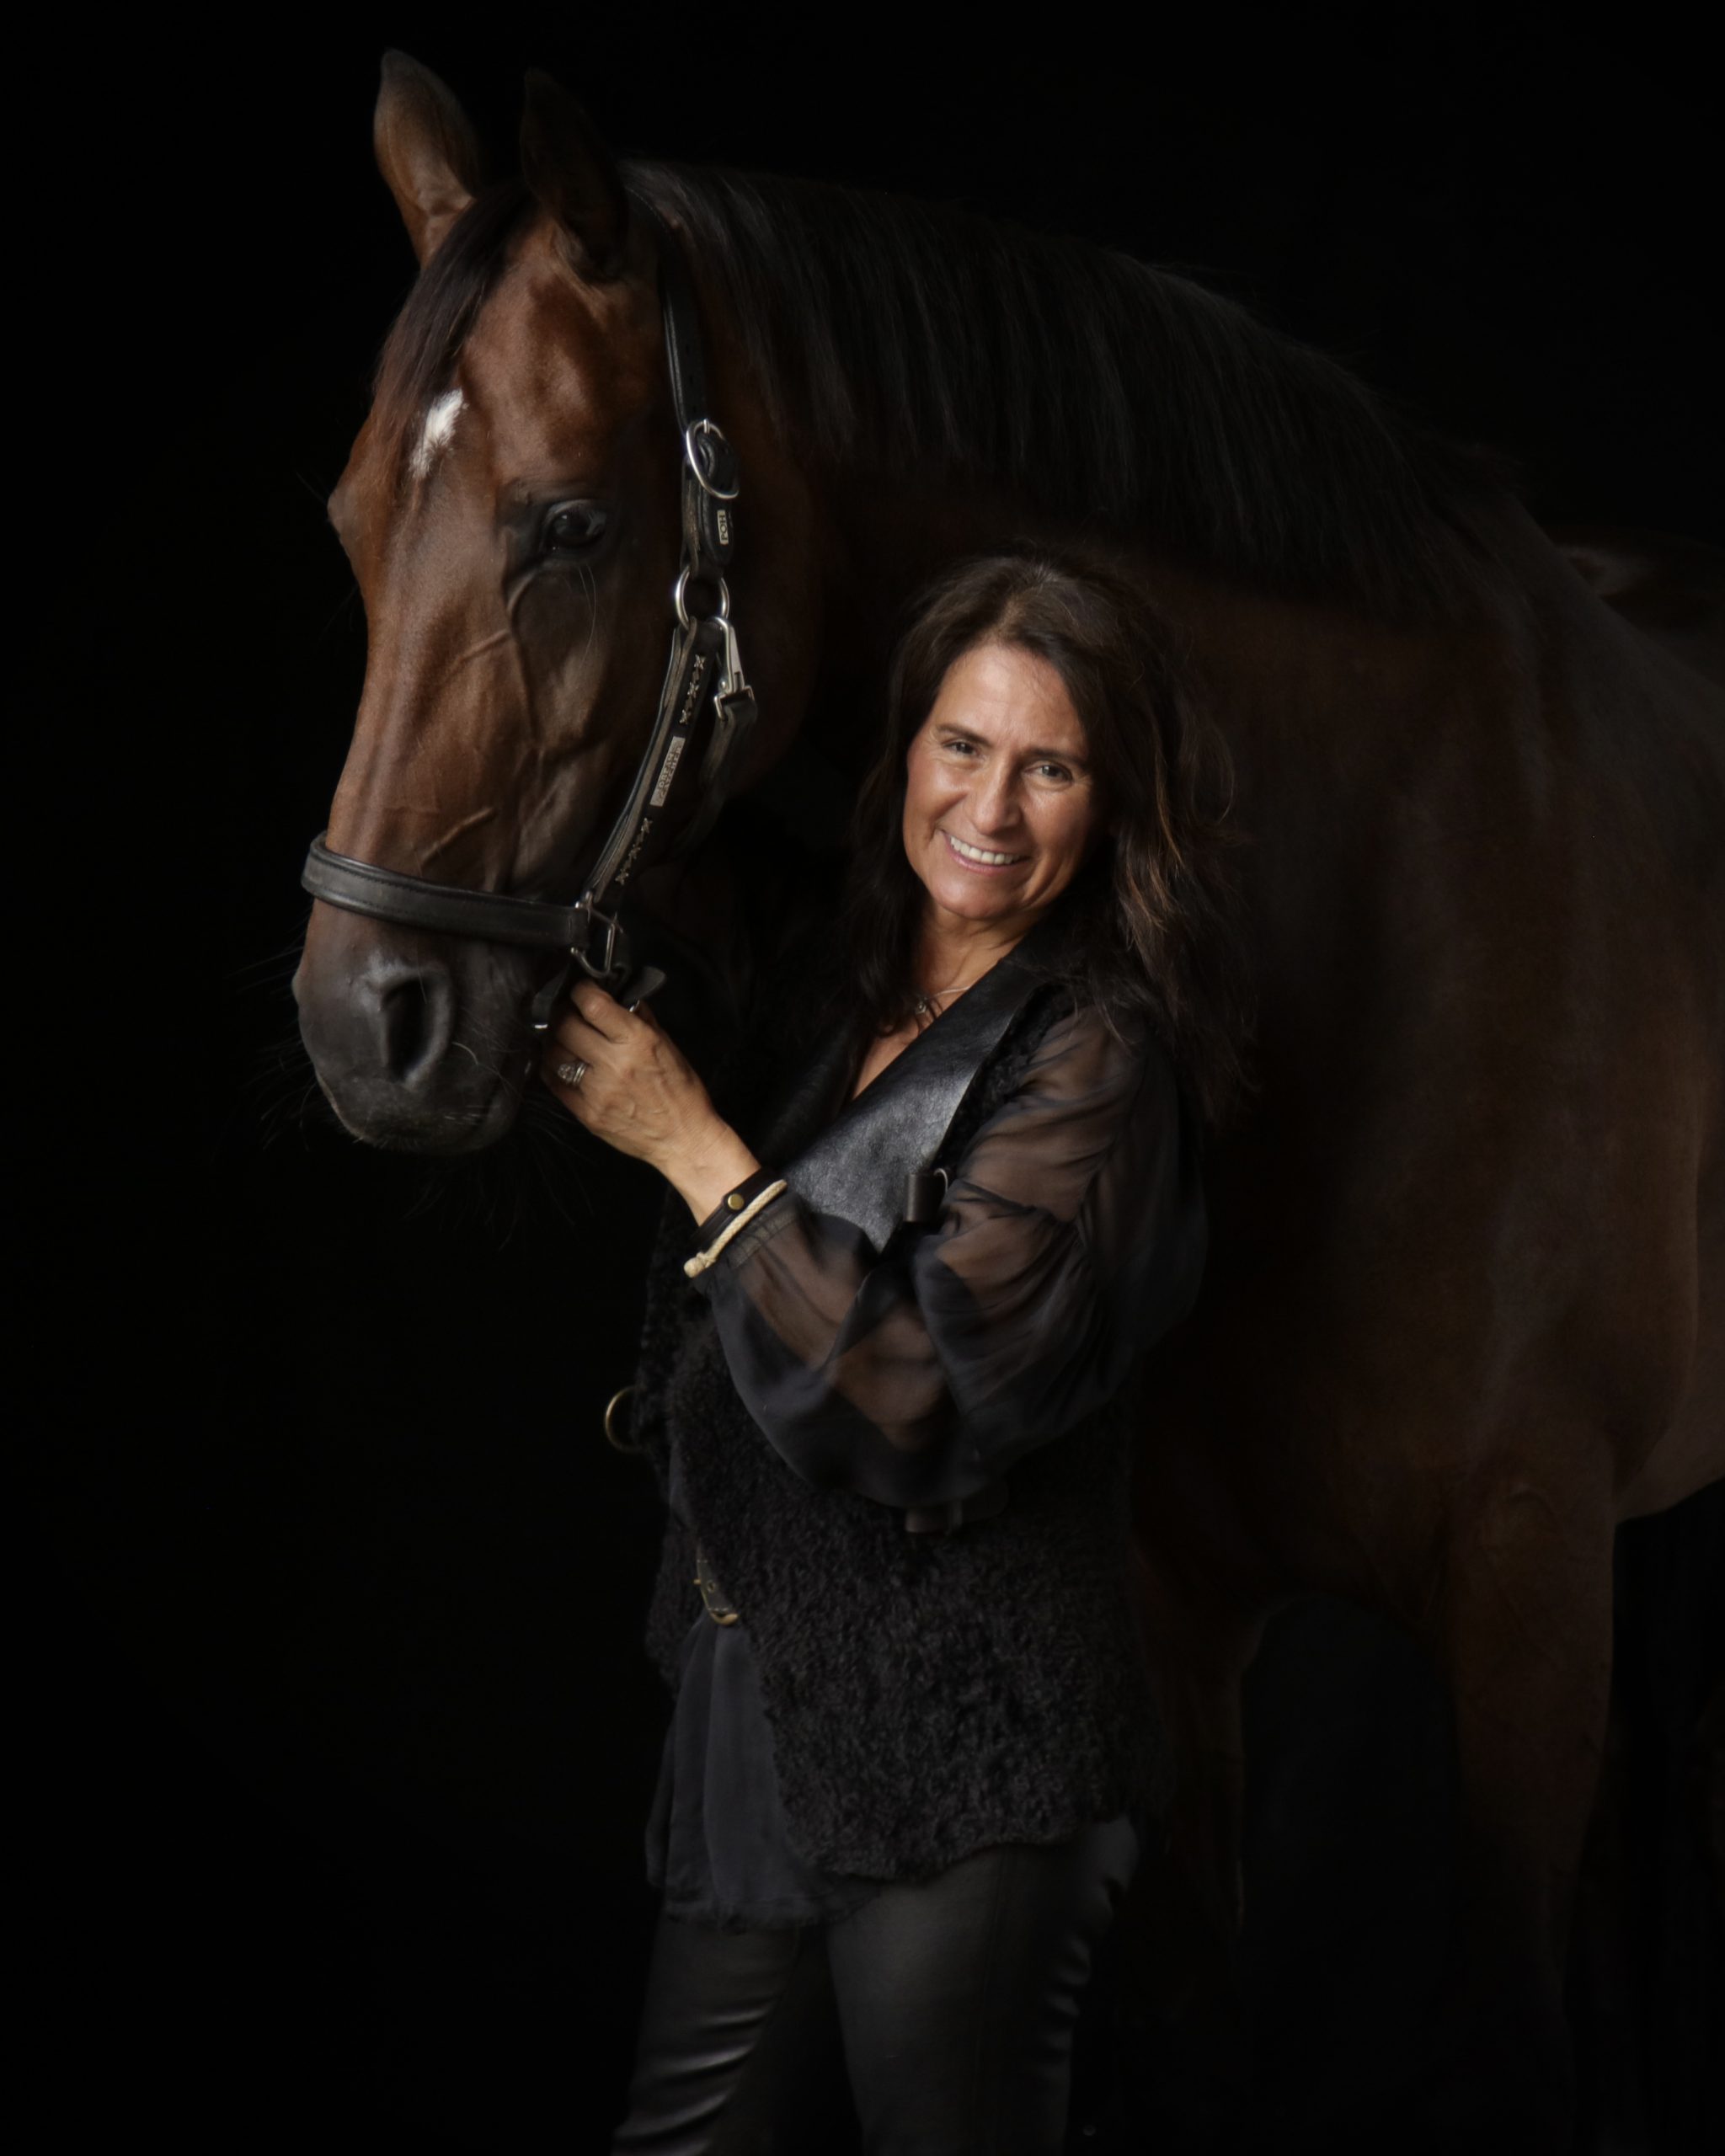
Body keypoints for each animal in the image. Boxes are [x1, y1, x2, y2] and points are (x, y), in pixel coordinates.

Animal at [291, 53, 1725, 2147]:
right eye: (346, 525)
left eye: (566, 524)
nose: (362, 1023)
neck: (1392, 914)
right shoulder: (1182, 1616)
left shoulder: (1527, 1610)